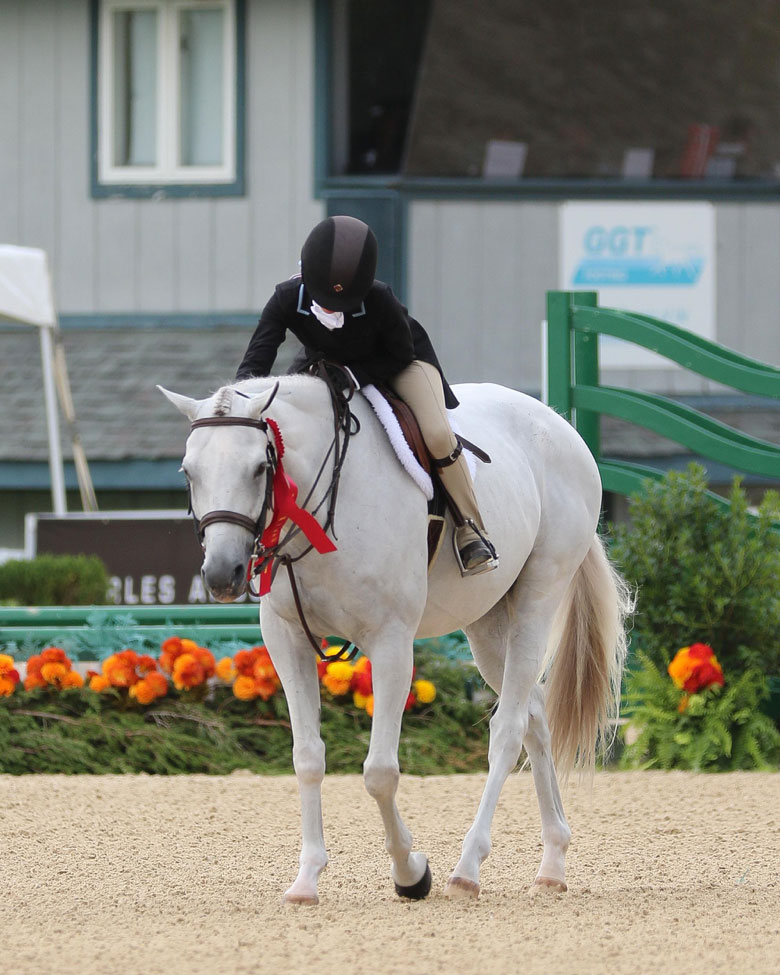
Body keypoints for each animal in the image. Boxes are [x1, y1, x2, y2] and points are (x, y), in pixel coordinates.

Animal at [159, 374, 632, 904]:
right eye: (188, 472)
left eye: (260, 467)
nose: (222, 575)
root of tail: (561, 427)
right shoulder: (286, 640)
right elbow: (307, 758)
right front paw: (306, 879)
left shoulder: (390, 644)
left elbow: (380, 772)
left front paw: (411, 873)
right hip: (488, 624)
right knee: (534, 716)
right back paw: (552, 862)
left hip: (537, 597)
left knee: (508, 729)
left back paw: (467, 868)